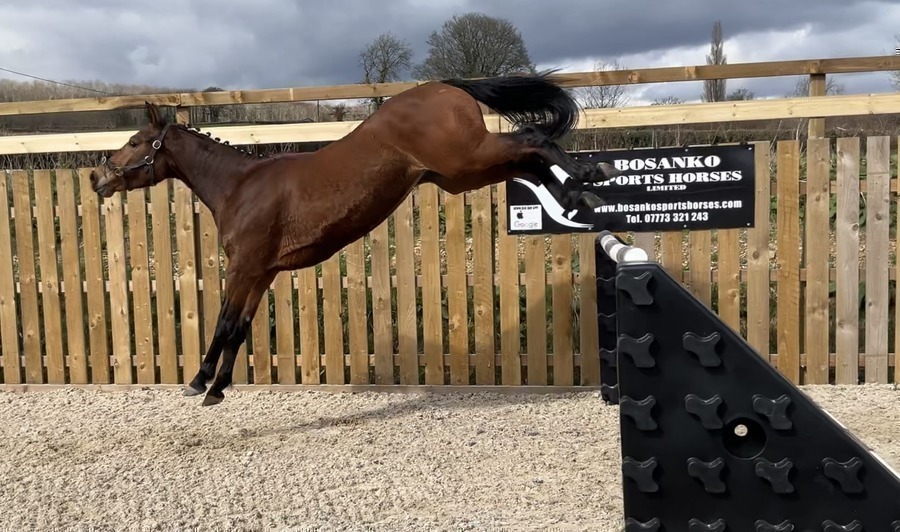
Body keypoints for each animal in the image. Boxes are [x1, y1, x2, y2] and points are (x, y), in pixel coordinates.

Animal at [90, 71, 617, 406]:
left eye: (136, 142)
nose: (99, 177)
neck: (240, 186)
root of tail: (446, 86)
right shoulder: (261, 274)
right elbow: (238, 328)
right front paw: (217, 388)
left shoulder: (243, 269)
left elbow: (221, 324)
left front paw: (199, 383)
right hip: (462, 173)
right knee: (529, 159)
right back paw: (580, 193)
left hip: (466, 157)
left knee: (532, 138)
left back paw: (590, 175)